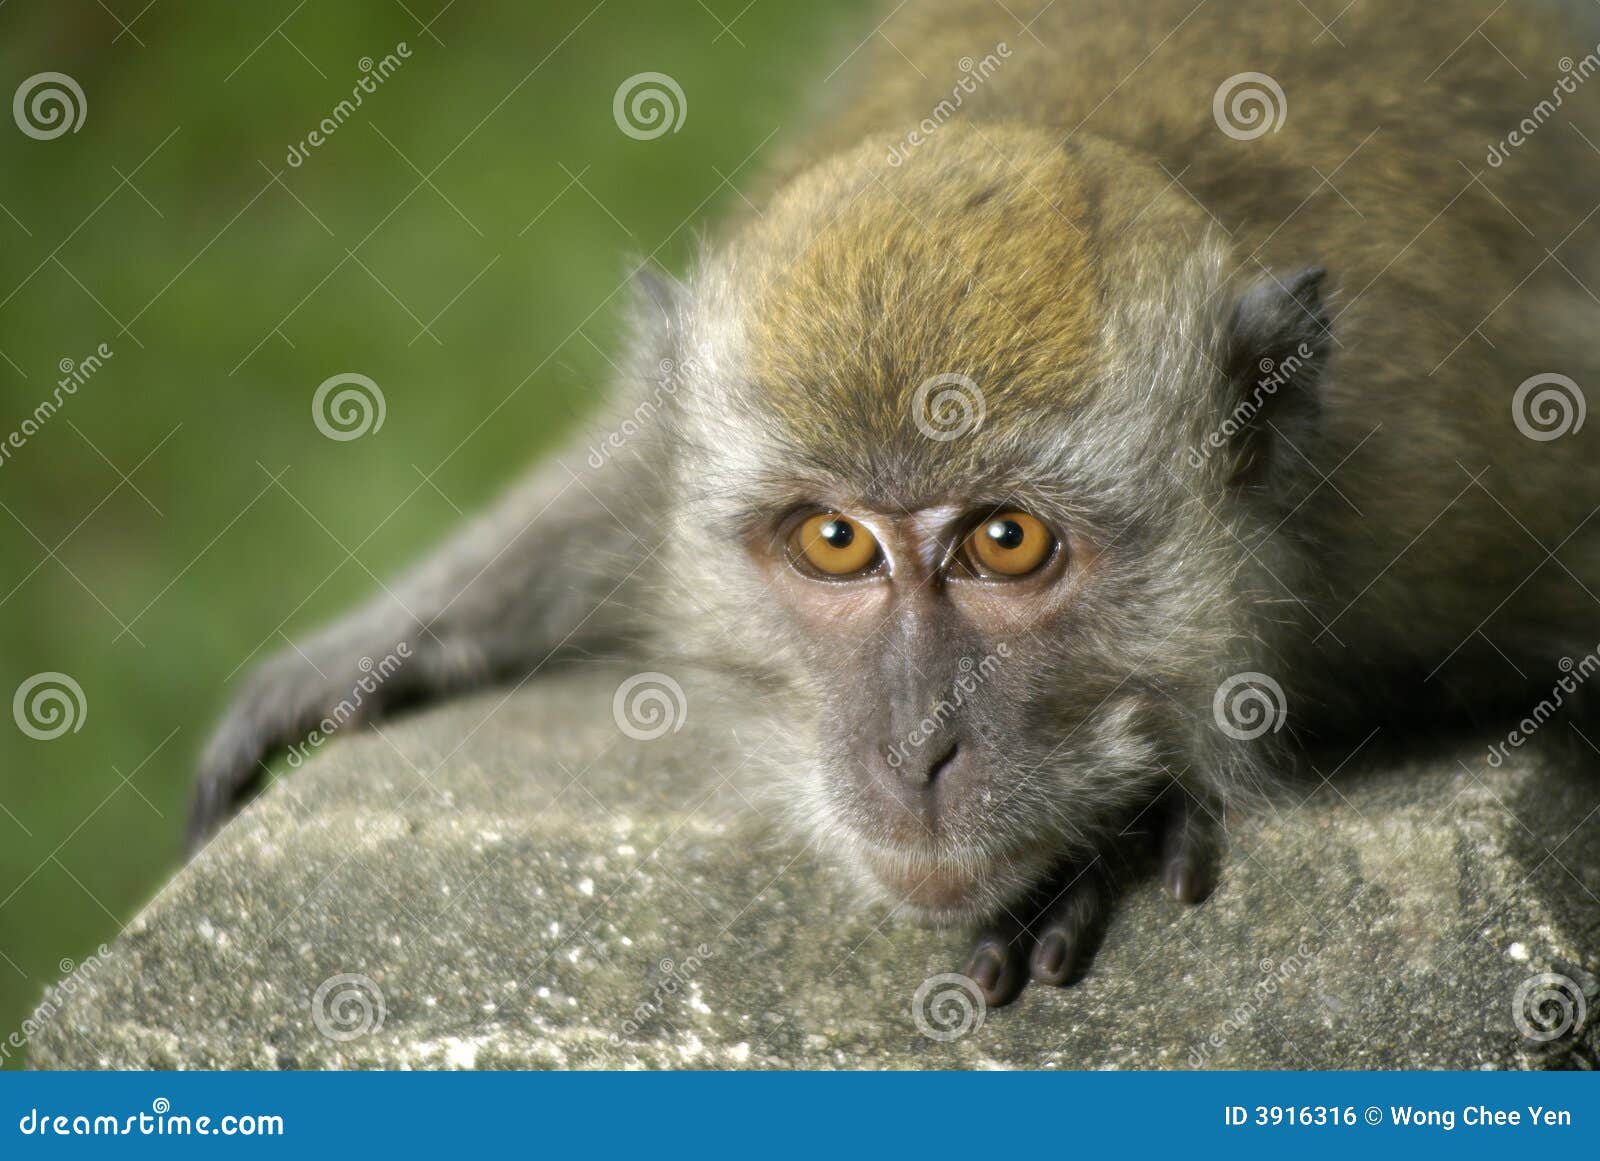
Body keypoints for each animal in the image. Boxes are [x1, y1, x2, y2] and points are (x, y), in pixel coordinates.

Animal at [188, 0, 1600, 1007]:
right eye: (834, 540)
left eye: (1006, 540)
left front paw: (1119, 824)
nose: (918, 748)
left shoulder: (1471, 492)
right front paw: (371, 652)